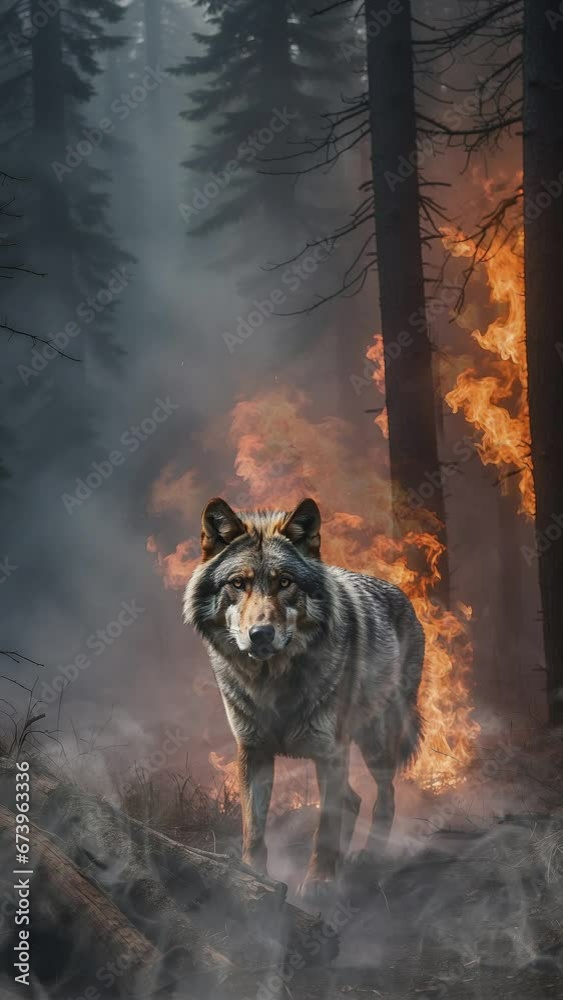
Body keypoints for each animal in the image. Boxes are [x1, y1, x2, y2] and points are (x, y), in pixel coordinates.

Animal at [184, 497, 424, 899]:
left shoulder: (330, 752)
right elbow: (254, 829)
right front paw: (254, 878)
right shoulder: (253, 751)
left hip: (373, 742)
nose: (261, 634)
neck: (274, 684)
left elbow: (324, 827)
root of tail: (400, 595)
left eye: (285, 582)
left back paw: (369, 857)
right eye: (238, 584)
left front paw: (319, 885)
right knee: (354, 800)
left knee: (384, 797)